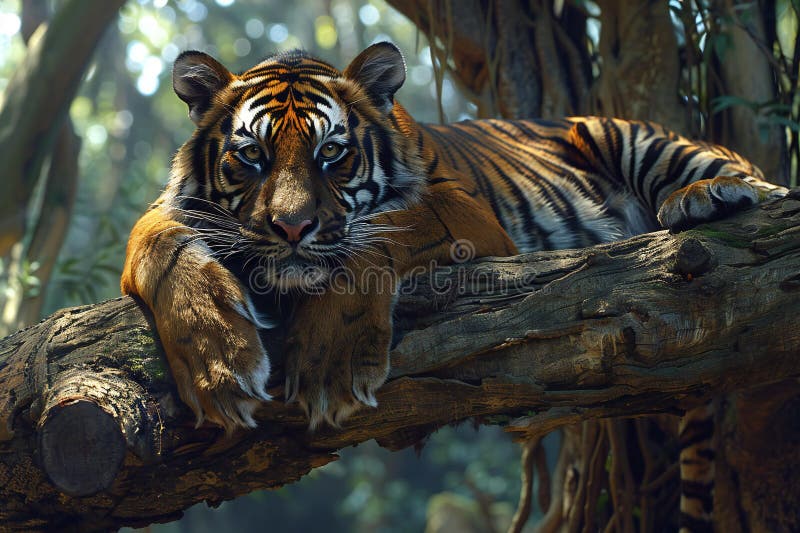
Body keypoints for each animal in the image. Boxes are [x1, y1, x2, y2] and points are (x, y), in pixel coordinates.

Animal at [121, 42, 786, 530]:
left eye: (332, 152)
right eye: (251, 155)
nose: (291, 228)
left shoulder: (463, 212)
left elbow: (381, 230)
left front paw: (330, 361)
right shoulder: (164, 216)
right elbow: (156, 242)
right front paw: (217, 362)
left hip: (632, 136)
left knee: (769, 188)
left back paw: (707, 196)